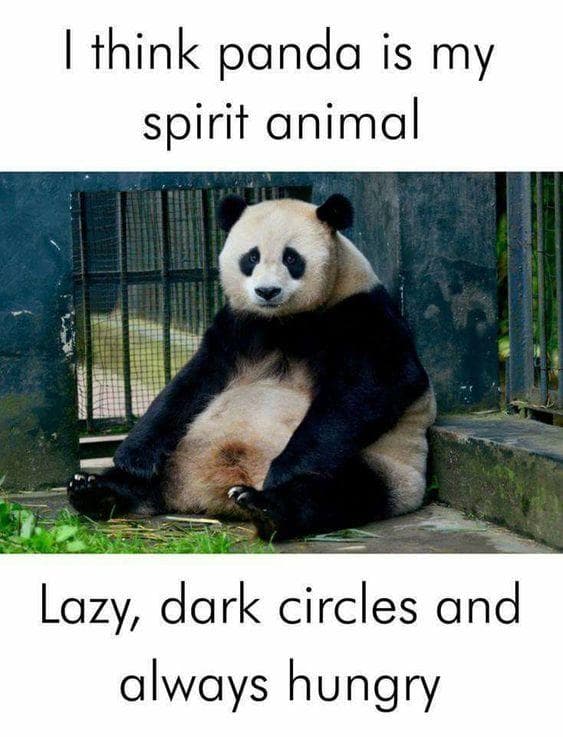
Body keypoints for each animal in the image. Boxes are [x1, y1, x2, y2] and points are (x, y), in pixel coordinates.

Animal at [68, 193, 436, 540]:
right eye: (251, 257)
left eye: (292, 258)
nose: (267, 291)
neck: (284, 321)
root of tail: (205, 495)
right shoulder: (237, 327)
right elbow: (188, 385)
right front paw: (133, 456)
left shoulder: (362, 314)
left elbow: (370, 387)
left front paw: (284, 470)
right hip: (182, 445)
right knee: (147, 476)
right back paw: (96, 490)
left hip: (381, 464)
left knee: (339, 490)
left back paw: (268, 508)